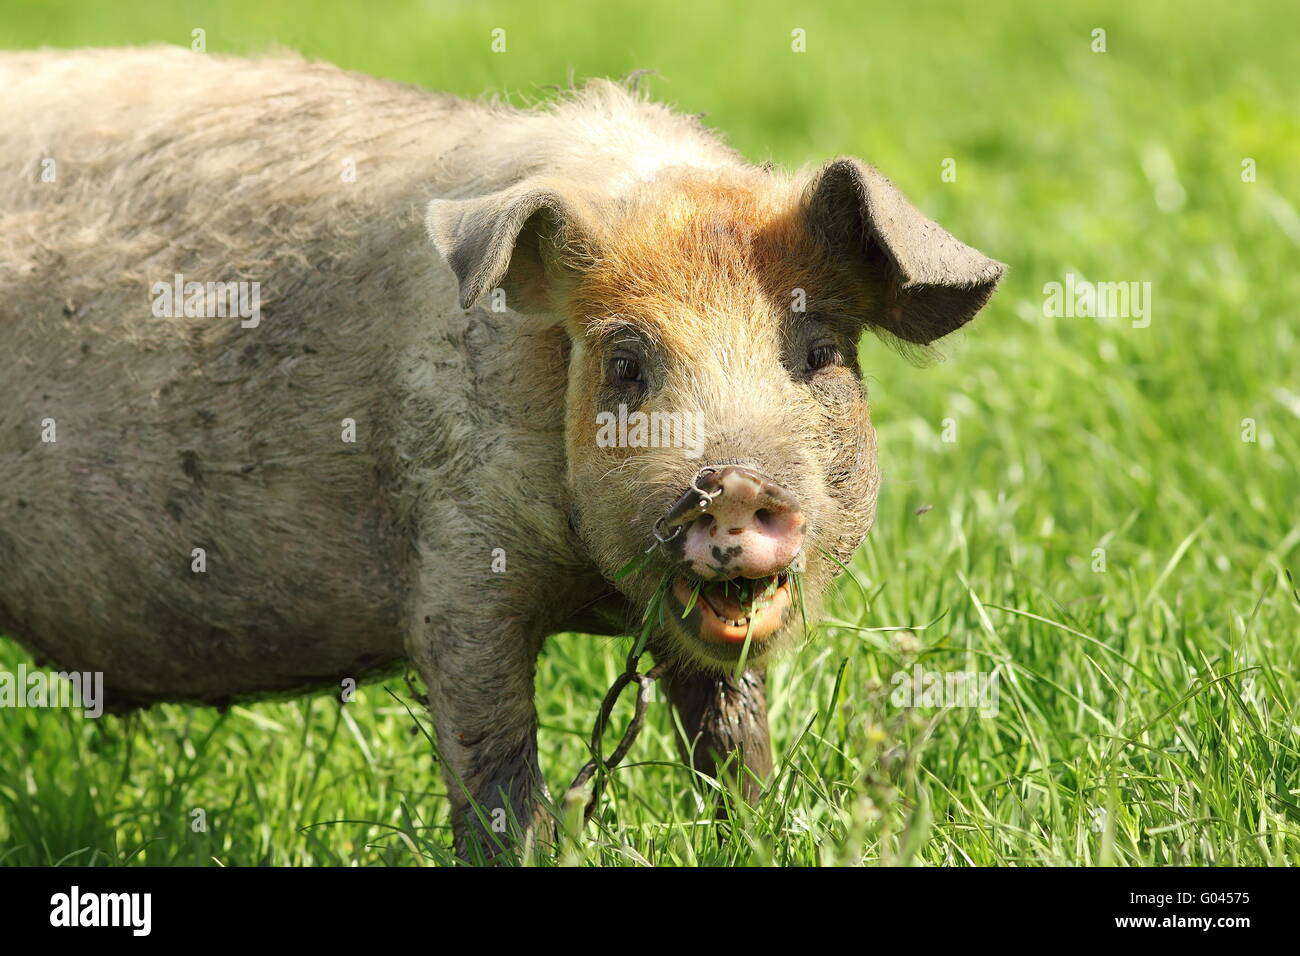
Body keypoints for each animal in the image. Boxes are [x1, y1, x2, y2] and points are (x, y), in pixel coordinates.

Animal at [0, 47, 1004, 859]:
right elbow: (495, 764)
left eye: (822, 353)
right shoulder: (454, 568)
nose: (735, 482)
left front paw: (754, 835)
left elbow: (733, 741)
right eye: (626, 361)